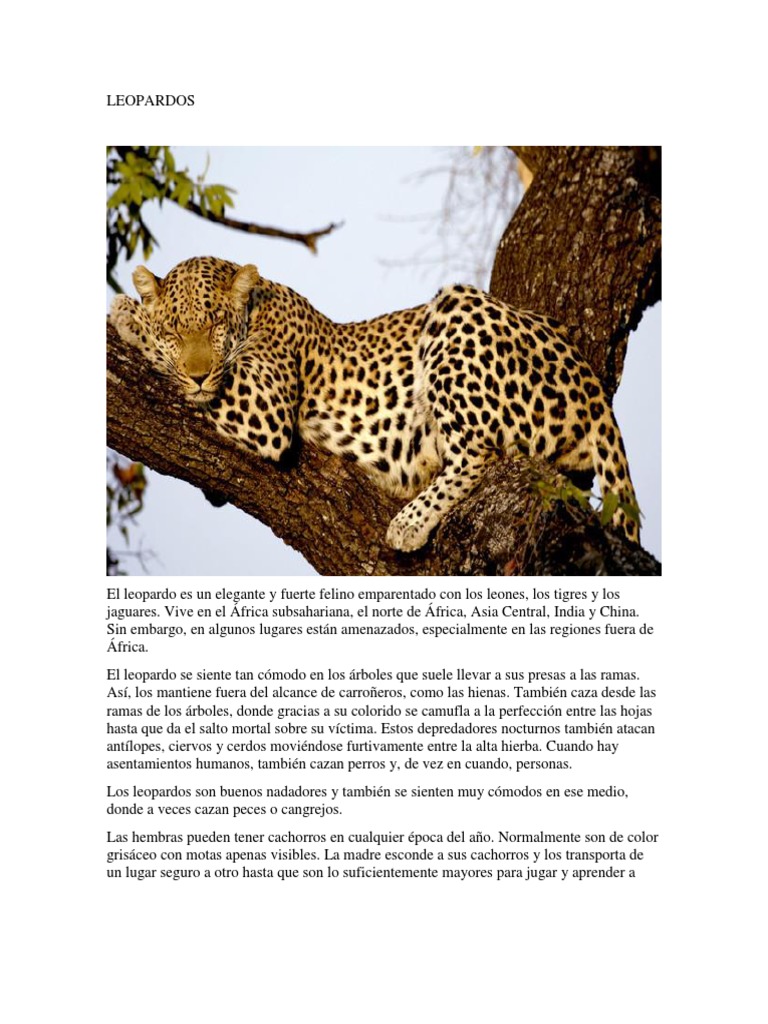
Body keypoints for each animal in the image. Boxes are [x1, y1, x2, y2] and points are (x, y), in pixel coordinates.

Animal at [110, 255, 640, 552]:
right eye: (175, 329)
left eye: (215, 324)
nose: (198, 375)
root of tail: (590, 382)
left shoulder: (267, 408)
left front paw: (126, 313)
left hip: (455, 308)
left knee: (479, 454)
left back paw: (410, 523)